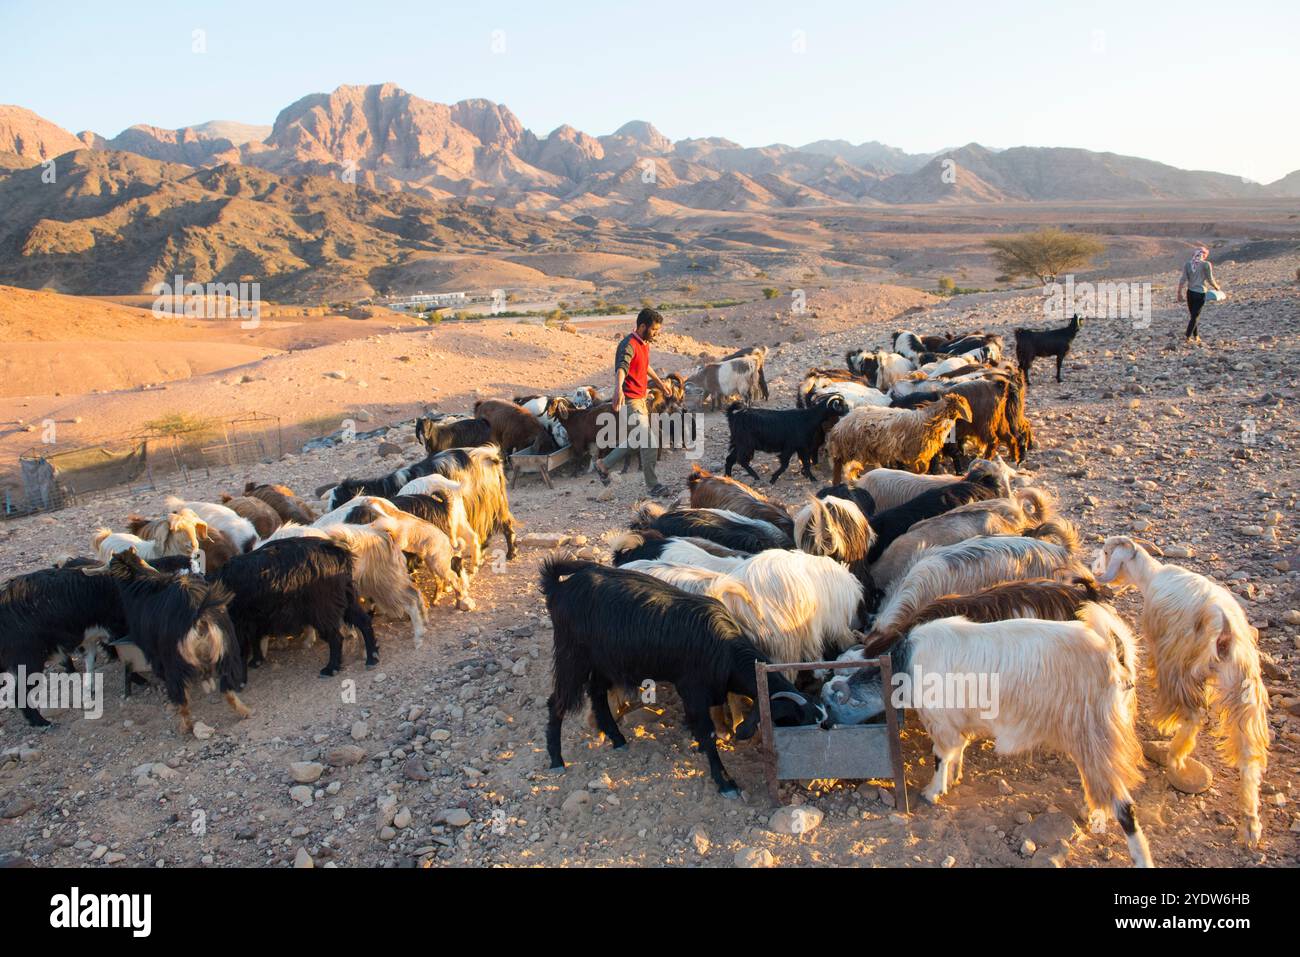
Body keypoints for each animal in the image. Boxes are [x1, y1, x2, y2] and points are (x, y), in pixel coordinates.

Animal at [540, 557, 824, 797]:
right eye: (799, 724)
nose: (811, 780)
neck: (725, 648)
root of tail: (559, 587)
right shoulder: (693, 690)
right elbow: (708, 735)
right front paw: (725, 783)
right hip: (571, 657)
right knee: (557, 702)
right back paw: (556, 760)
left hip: (604, 662)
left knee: (597, 695)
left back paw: (617, 739)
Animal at [1093, 536, 1270, 847]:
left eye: (1105, 552)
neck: (1150, 575)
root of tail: (1222, 626)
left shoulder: (1159, 647)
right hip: (1243, 684)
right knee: (1248, 751)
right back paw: (1250, 823)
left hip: (1181, 668)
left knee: (1194, 716)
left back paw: (1174, 753)